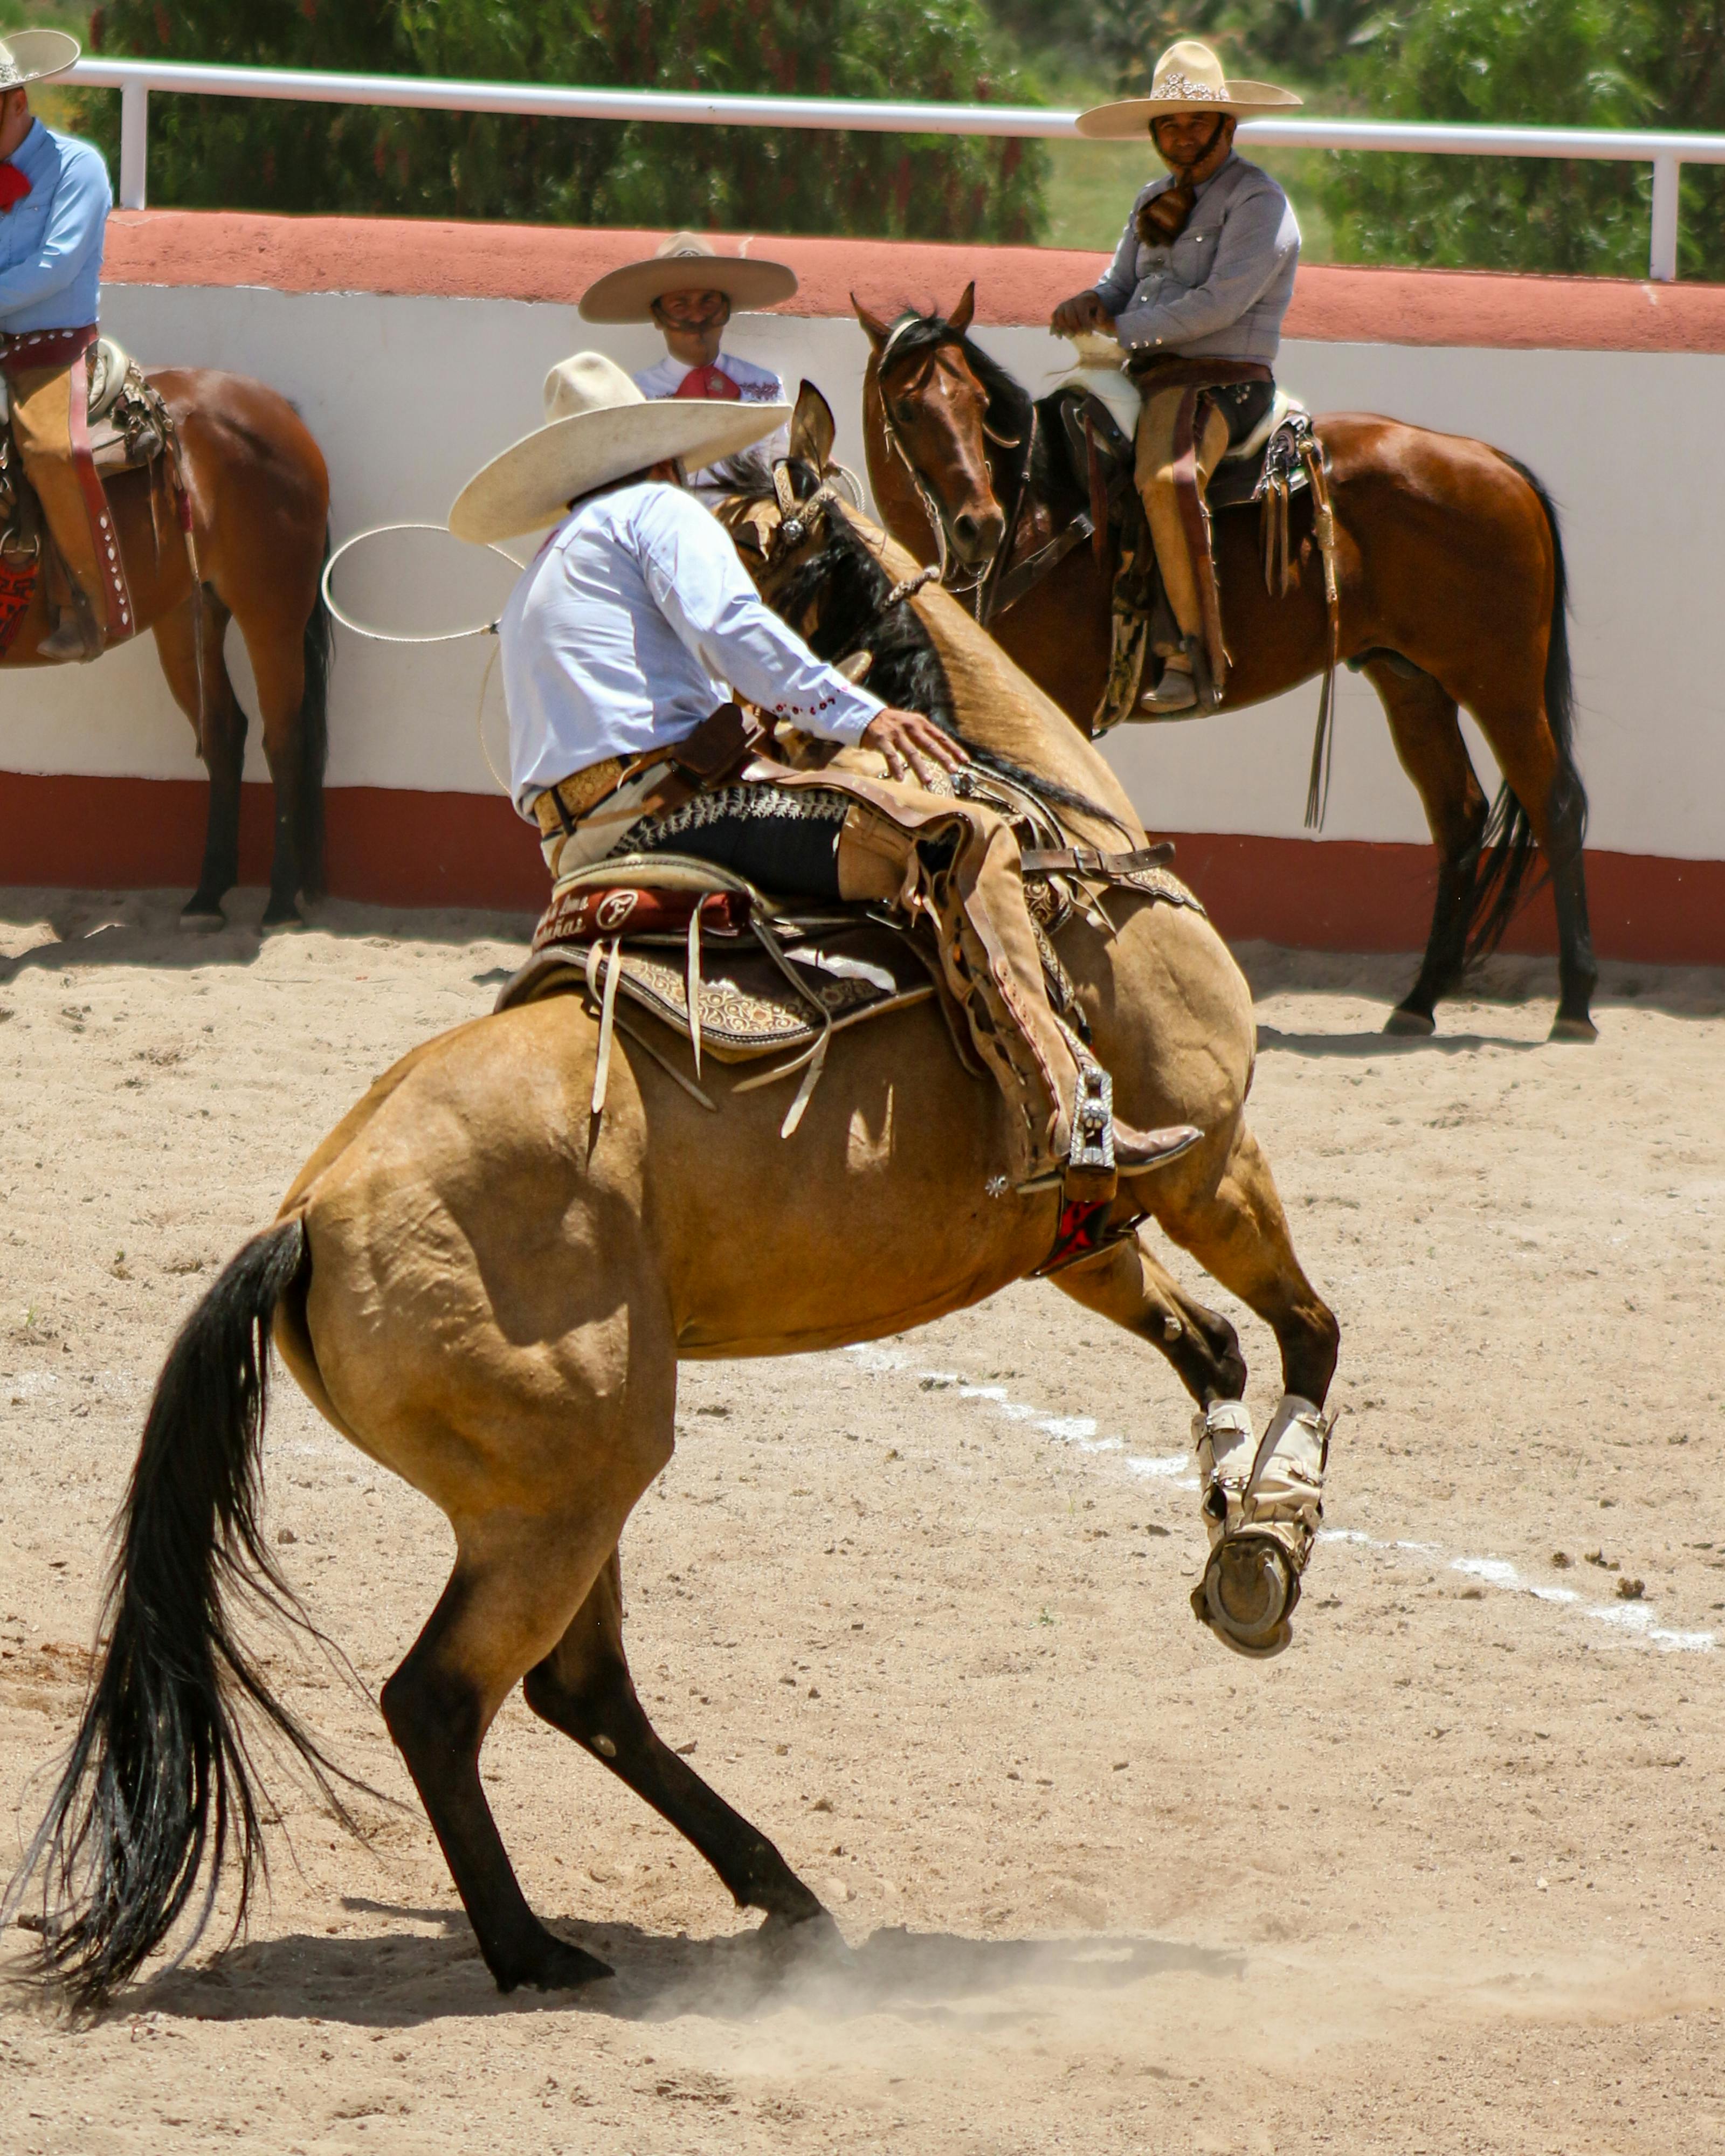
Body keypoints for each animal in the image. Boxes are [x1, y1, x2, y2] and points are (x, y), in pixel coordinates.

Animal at [2, 369, 332, 928]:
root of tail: (281, 412)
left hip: (272, 616)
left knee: (284, 740)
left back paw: (281, 901)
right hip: (186, 616)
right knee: (224, 732)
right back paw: (207, 895)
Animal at [856, 288, 1597, 1043]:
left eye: (977, 403)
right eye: (908, 409)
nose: (978, 523)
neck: (1040, 514)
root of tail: (1495, 463)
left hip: (1499, 680)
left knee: (1555, 803)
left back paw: (1573, 1004)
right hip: (1411, 681)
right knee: (1459, 815)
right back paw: (1419, 999)